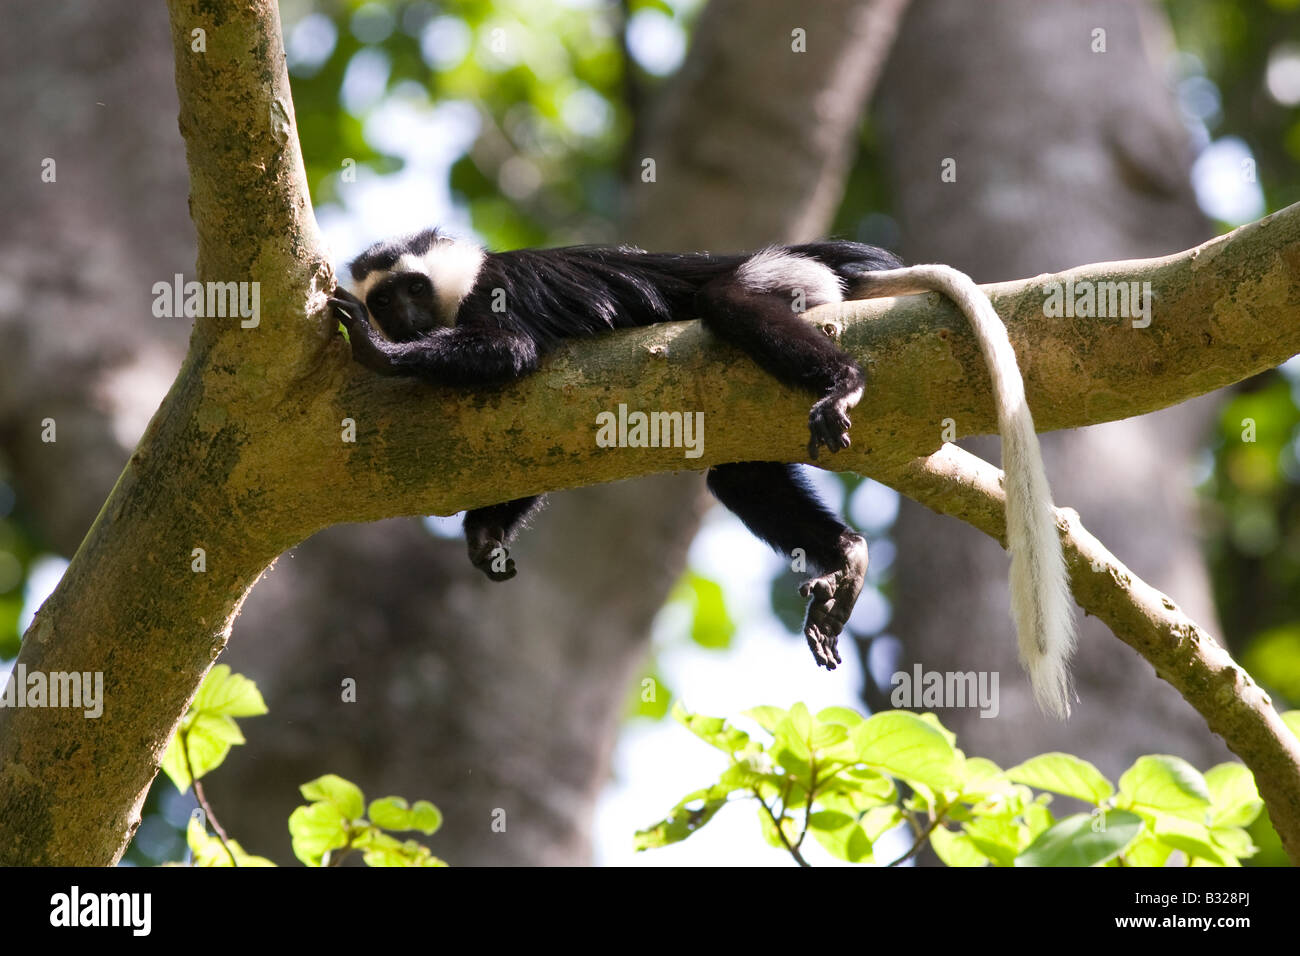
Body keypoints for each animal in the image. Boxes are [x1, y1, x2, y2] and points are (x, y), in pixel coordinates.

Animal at [330, 228, 1076, 716]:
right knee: (737, 480)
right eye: (386, 297)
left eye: (411, 288)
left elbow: (512, 352)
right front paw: (486, 538)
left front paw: (379, 353)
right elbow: (527, 454)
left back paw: (844, 383)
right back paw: (847, 555)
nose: (402, 320)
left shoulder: (494, 295)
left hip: (780, 282)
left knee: (726, 301)